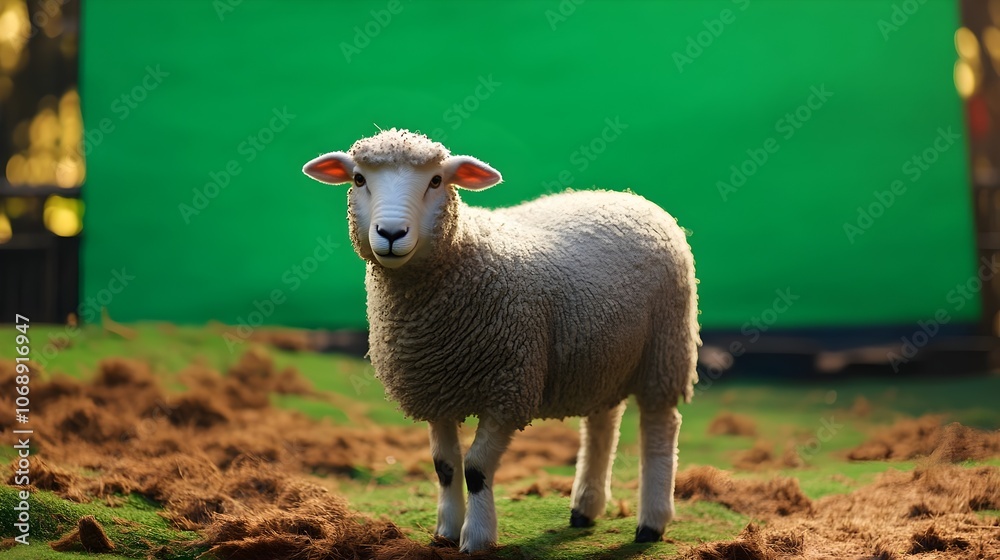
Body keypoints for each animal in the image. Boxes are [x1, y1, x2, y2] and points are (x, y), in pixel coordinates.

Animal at [302, 128, 699, 553]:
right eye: (359, 179)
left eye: (436, 180)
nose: (391, 234)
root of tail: (627, 196)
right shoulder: (435, 389)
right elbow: (445, 466)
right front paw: (445, 531)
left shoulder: (508, 390)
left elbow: (476, 468)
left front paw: (476, 537)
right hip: (600, 355)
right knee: (602, 423)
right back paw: (585, 508)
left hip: (665, 349)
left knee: (660, 428)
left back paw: (651, 523)